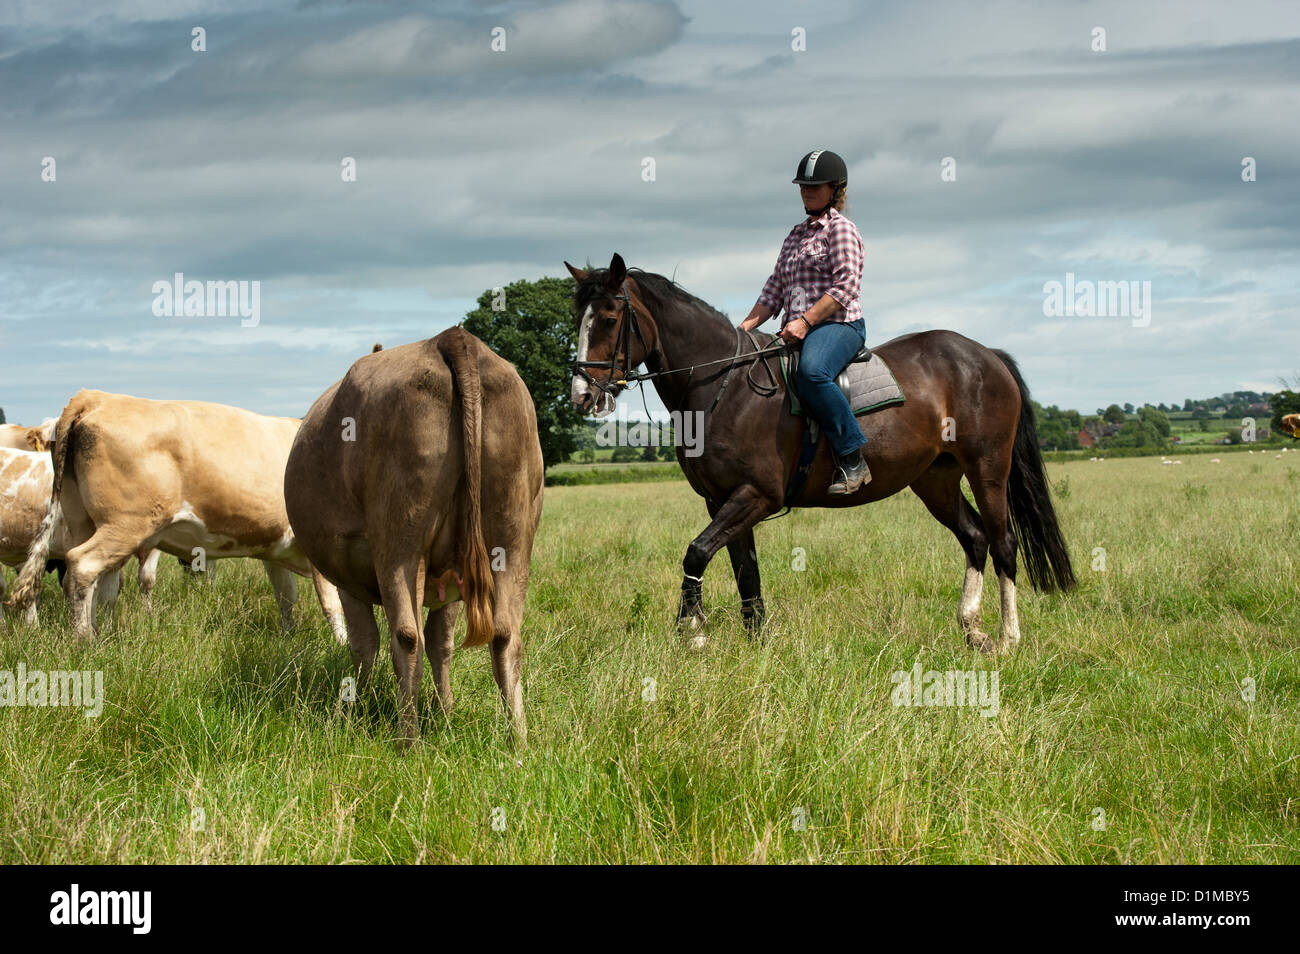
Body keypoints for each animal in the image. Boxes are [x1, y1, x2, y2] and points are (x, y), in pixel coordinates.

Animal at [566, 254, 1075, 653]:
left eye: (609, 318)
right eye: (576, 320)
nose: (581, 395)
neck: (723, 386)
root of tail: (984, 354)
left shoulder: (756, 495)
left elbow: (696, 553)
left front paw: (692, 632)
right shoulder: (722, 500)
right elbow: (744, 570)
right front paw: (756, 642)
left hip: (988, 468)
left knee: (1003, 541)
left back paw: (1008, 638)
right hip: (936, 479)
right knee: (974, 537)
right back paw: (972, 631)